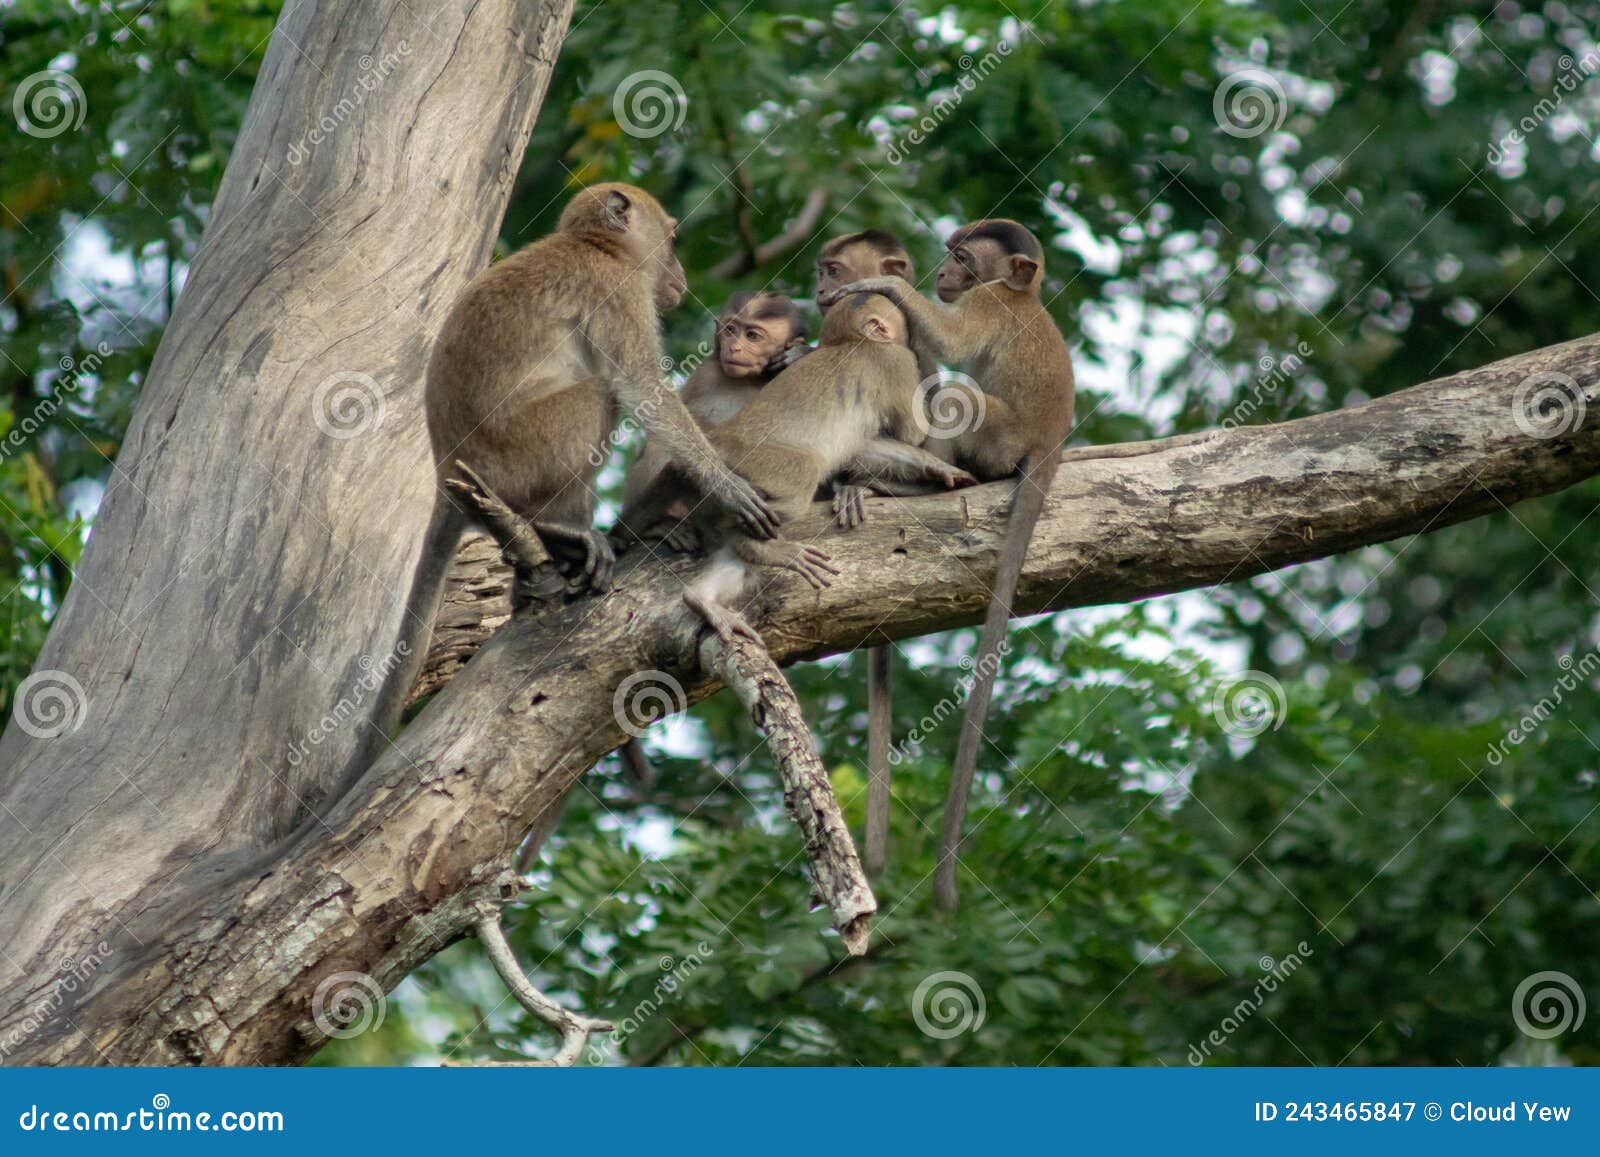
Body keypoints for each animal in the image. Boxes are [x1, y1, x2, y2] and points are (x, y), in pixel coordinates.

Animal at [823, 218, 1075, 910]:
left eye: (963, 257)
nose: (942, 273)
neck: (1020, 294)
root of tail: (1049, 445)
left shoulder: (987, 305)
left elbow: (950, 341)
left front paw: (885, 290)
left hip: (1000, 436)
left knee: (962, 398)